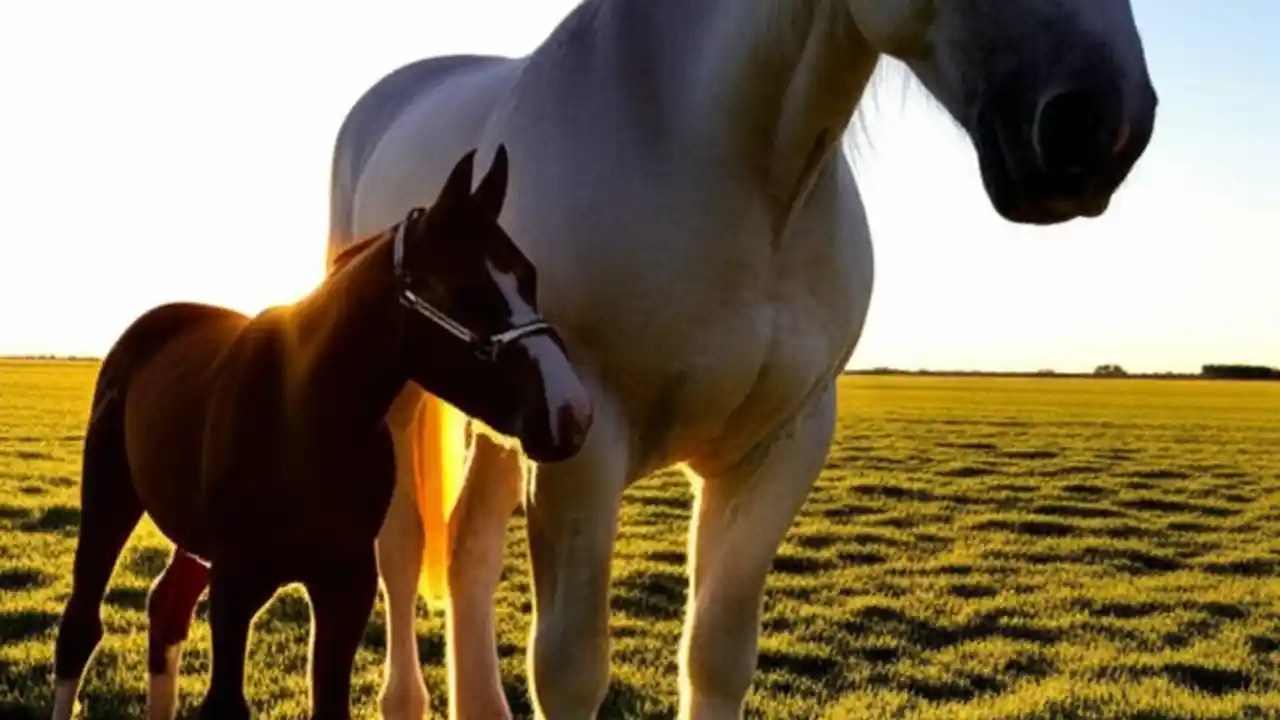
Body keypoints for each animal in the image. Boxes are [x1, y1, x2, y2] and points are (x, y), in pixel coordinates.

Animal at [50, 147, 593, 720]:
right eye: (467, 291)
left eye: (529, 278)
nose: (570, 413)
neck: (304, 418)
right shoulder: (236, 583)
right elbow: (225, 702)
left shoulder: (345, 585)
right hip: (110, 494)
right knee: (81, 625)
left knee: (167, 605)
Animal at [326, 1, 1158, 717]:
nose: (1102, 128)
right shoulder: (583, 450)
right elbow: (570, 670)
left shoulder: (777, 446)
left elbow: (716, 657)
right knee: (402, 552)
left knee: (470, 548)